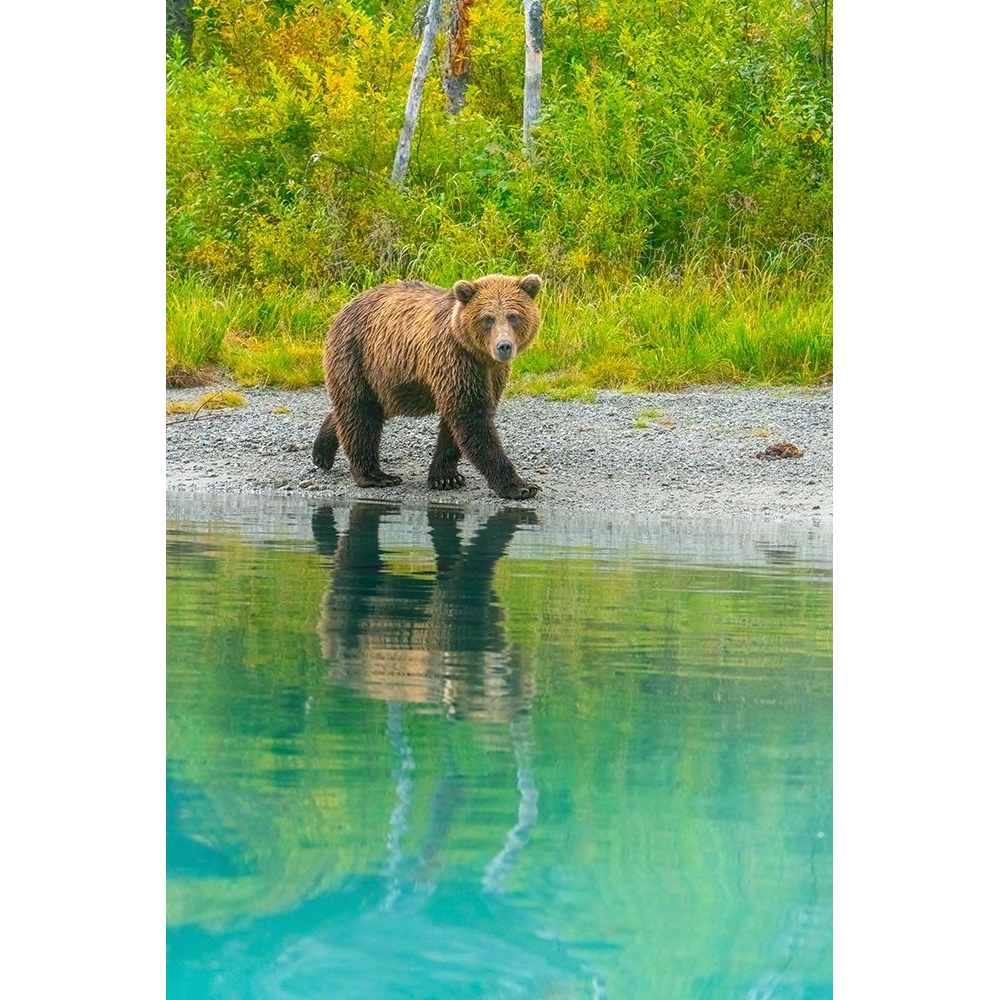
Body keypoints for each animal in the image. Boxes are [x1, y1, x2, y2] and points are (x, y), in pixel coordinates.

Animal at [311, 273, 543, 500]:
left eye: (513, 316)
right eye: (488, 318)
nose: (504, 346)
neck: (479, 355)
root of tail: (344, 307)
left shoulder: (490, 373)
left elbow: (456, 423)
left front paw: (446, 477)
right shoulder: (456, 359)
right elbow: (471, 417)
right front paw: (520, 487)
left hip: (385, 379)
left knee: (359, 410)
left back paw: (322, 453)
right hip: (358, 355)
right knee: (361, 411)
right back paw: (374, 475)